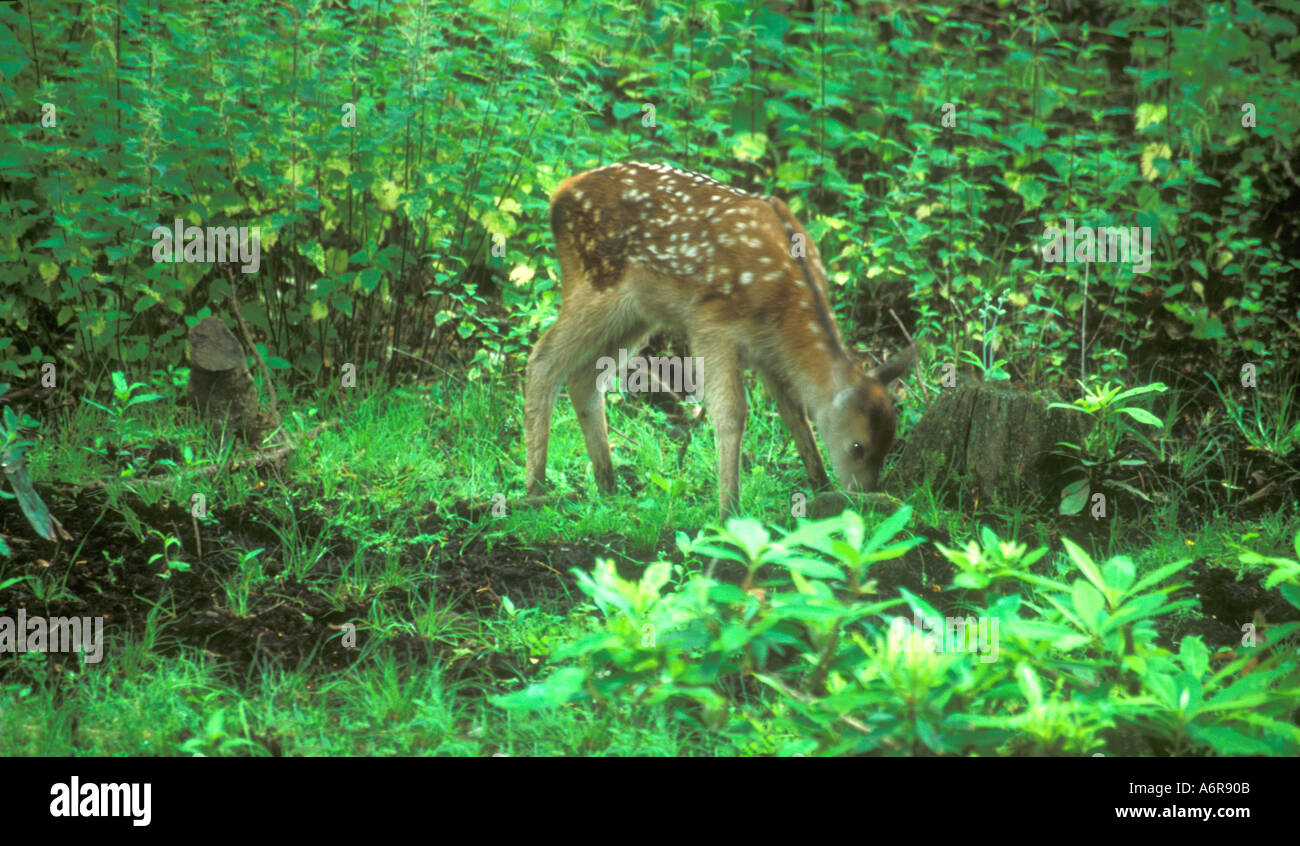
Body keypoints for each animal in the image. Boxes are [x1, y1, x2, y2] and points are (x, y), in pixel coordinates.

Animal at [524, 161, 916, 517]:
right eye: (857, 446)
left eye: (889, 443)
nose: (862, 498)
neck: (785, 305)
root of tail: (559, 194)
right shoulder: (712, 323)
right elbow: (731, 413)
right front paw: (729, 509)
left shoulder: (767, 350)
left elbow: (796, 415)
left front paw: (820, 486)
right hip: (597, 285)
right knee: (542, 359)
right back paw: (536, 488)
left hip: (637, 314)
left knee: (584, 378)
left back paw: (608, 484)